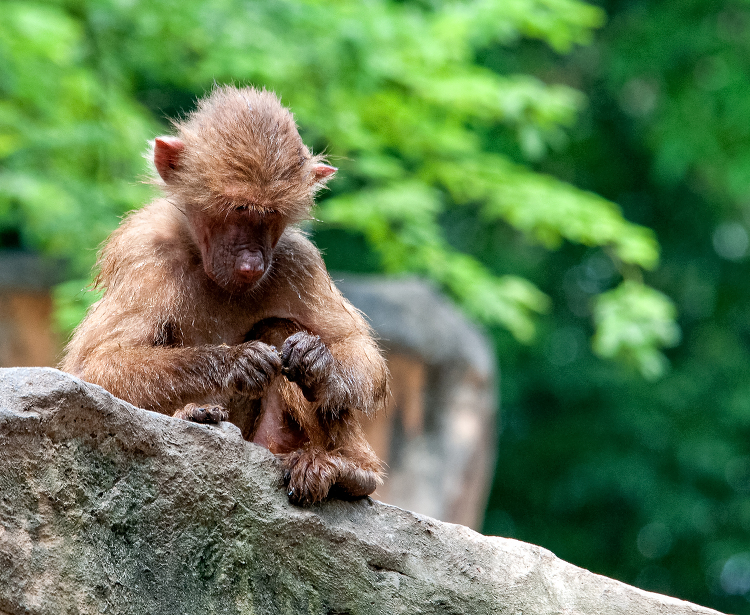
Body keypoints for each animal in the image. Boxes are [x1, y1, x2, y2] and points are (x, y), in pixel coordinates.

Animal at [60, 86, 388, 506]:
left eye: (270, 215)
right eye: (238, 208)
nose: (251, 263)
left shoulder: (297, 260)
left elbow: (353, 345)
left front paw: (317, 364)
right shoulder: (144, 252)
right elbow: (95, 368)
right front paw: (236, 362)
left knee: (280, 330)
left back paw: (352, 472)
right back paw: (193, 416)